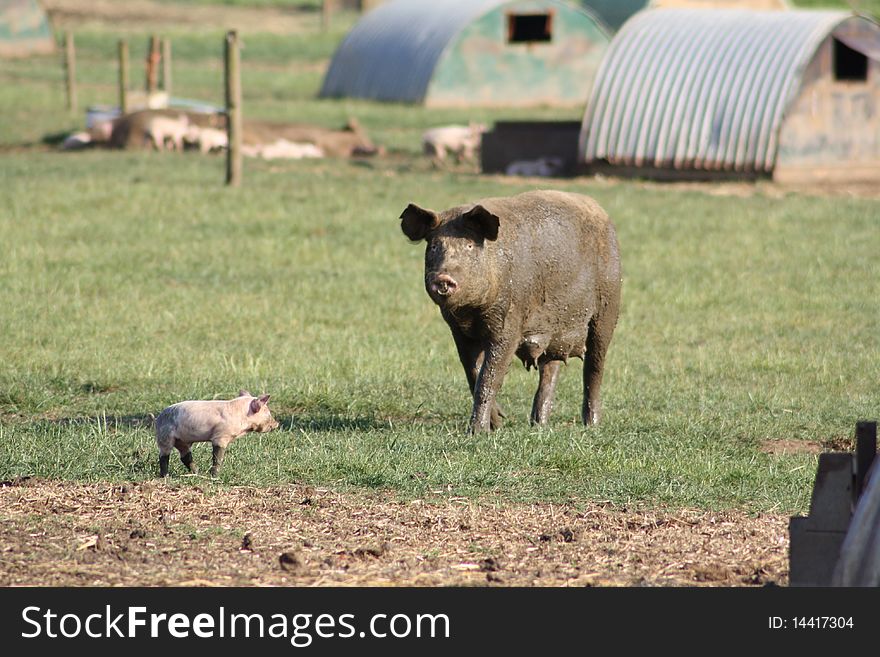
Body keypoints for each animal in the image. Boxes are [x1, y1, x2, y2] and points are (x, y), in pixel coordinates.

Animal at [400, 190, 621, 434]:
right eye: (434, 246)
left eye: (469, 246)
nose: (443, 278)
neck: (472, 313)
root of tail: (603, 213)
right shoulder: (459, 331)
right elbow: (472, 373)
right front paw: (497, 424)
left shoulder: (510, 325)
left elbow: (490, 376)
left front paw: (477, 432)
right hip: (555, 330)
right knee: (550, 369)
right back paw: (538, 425)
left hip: (608, 309)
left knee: (594, 368)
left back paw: (591, 425)